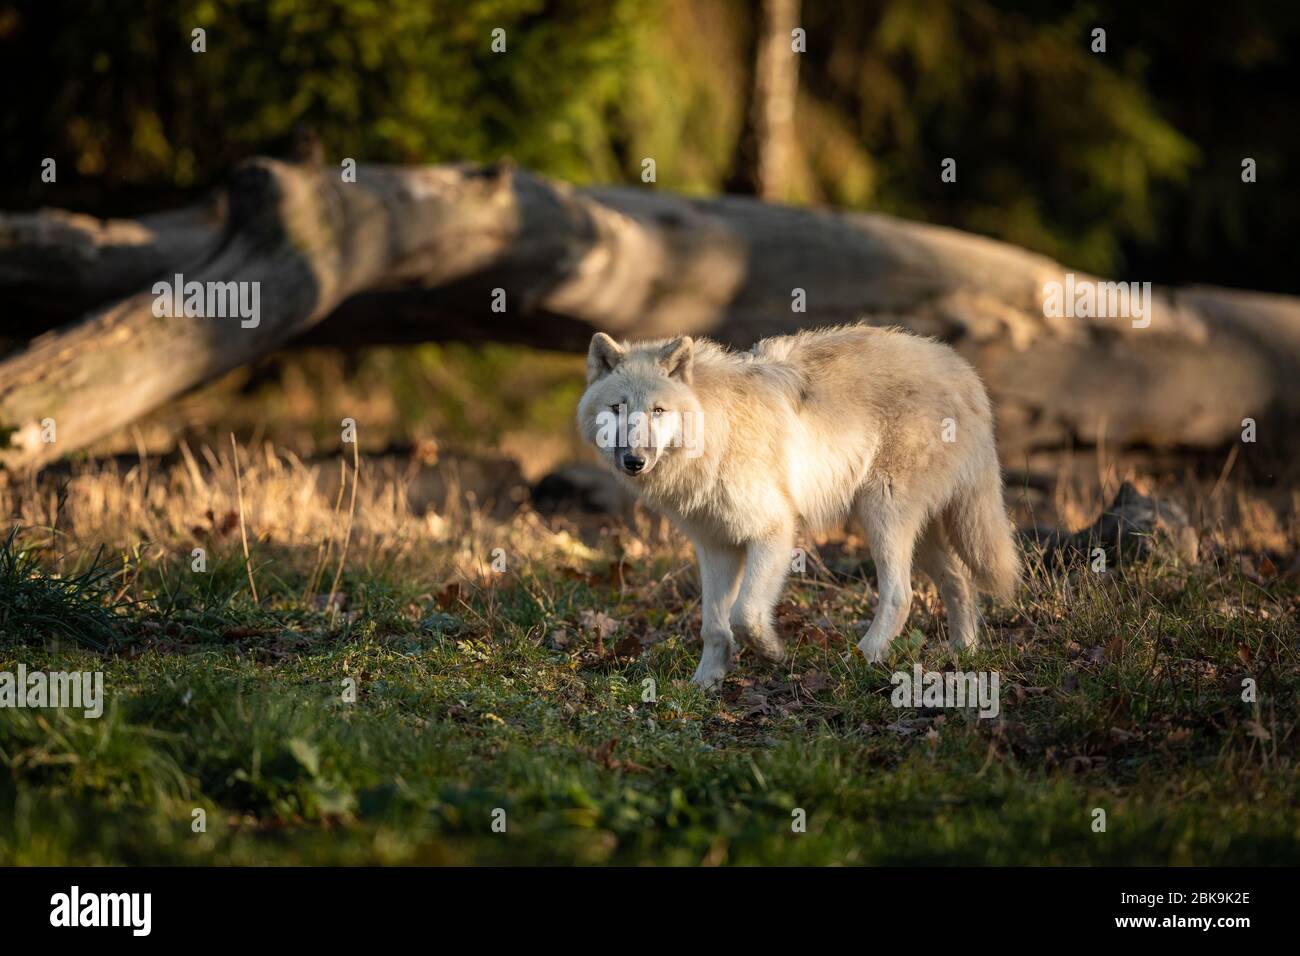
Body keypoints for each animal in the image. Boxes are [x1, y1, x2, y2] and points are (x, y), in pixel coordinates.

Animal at [577, 324, 1020, 689]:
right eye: (617, 407)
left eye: (657, 411)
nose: (634, 460)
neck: (714, 431)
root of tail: (964, 373)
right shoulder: (716, 545)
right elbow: (714, 625)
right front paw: (705, 683)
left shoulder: (774, 531)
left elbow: (745, 614)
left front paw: (773, 652)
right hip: (917, 531)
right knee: (959, 582)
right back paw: (963, 655)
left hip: (883, 513)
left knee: (901, 595)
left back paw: (862, 657)